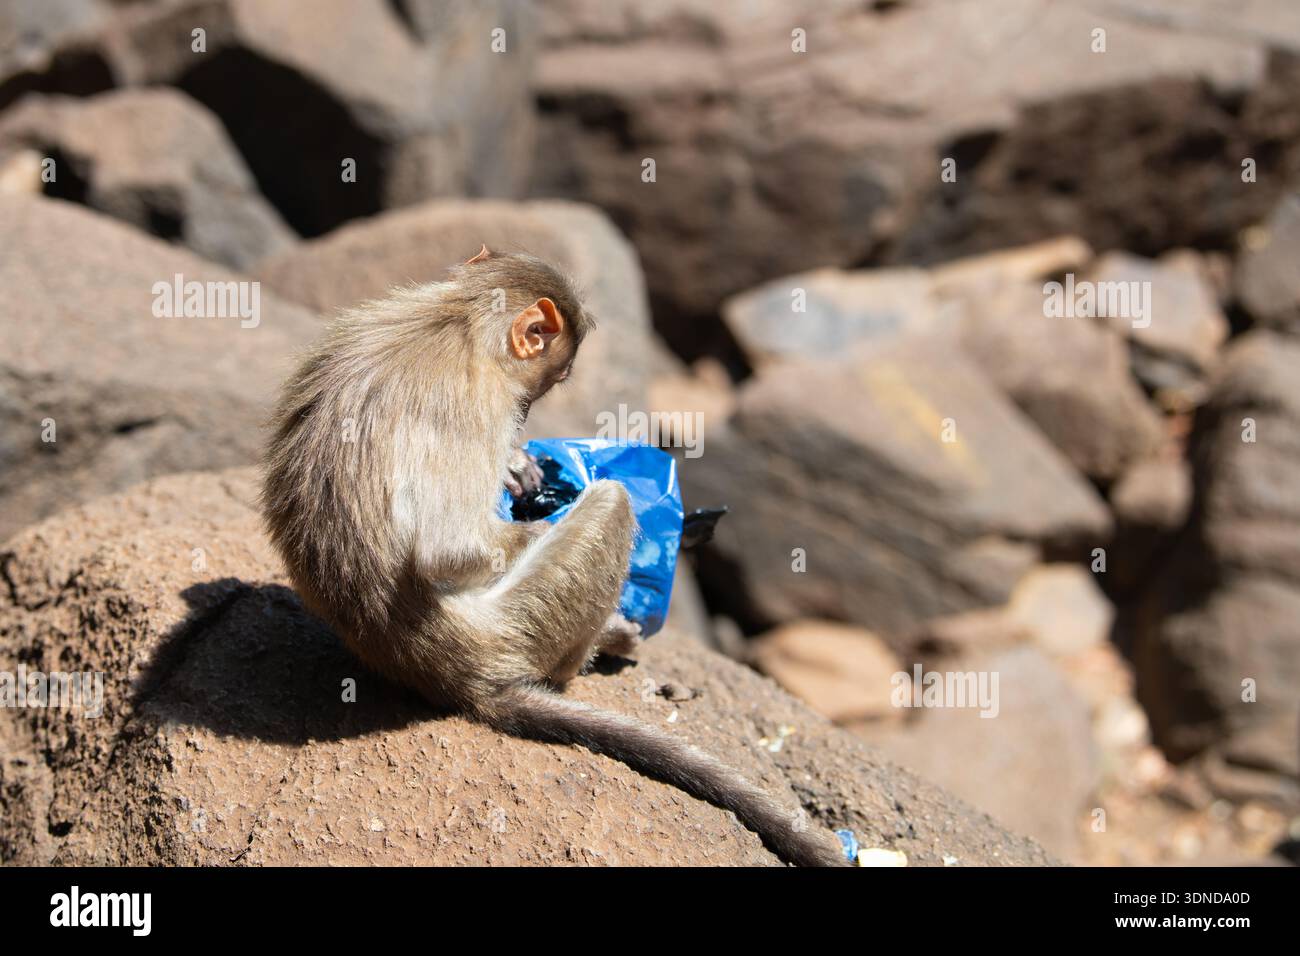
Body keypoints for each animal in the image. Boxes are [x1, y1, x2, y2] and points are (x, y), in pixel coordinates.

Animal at [260, 247, 849, 867]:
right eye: (557, 376)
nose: (525, 418)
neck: (456, 318)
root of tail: (451, 676)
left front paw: (519, 466)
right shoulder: (475, 401)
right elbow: (448, 550)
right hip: (523, 623)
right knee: (611, 505)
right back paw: (597, 642)